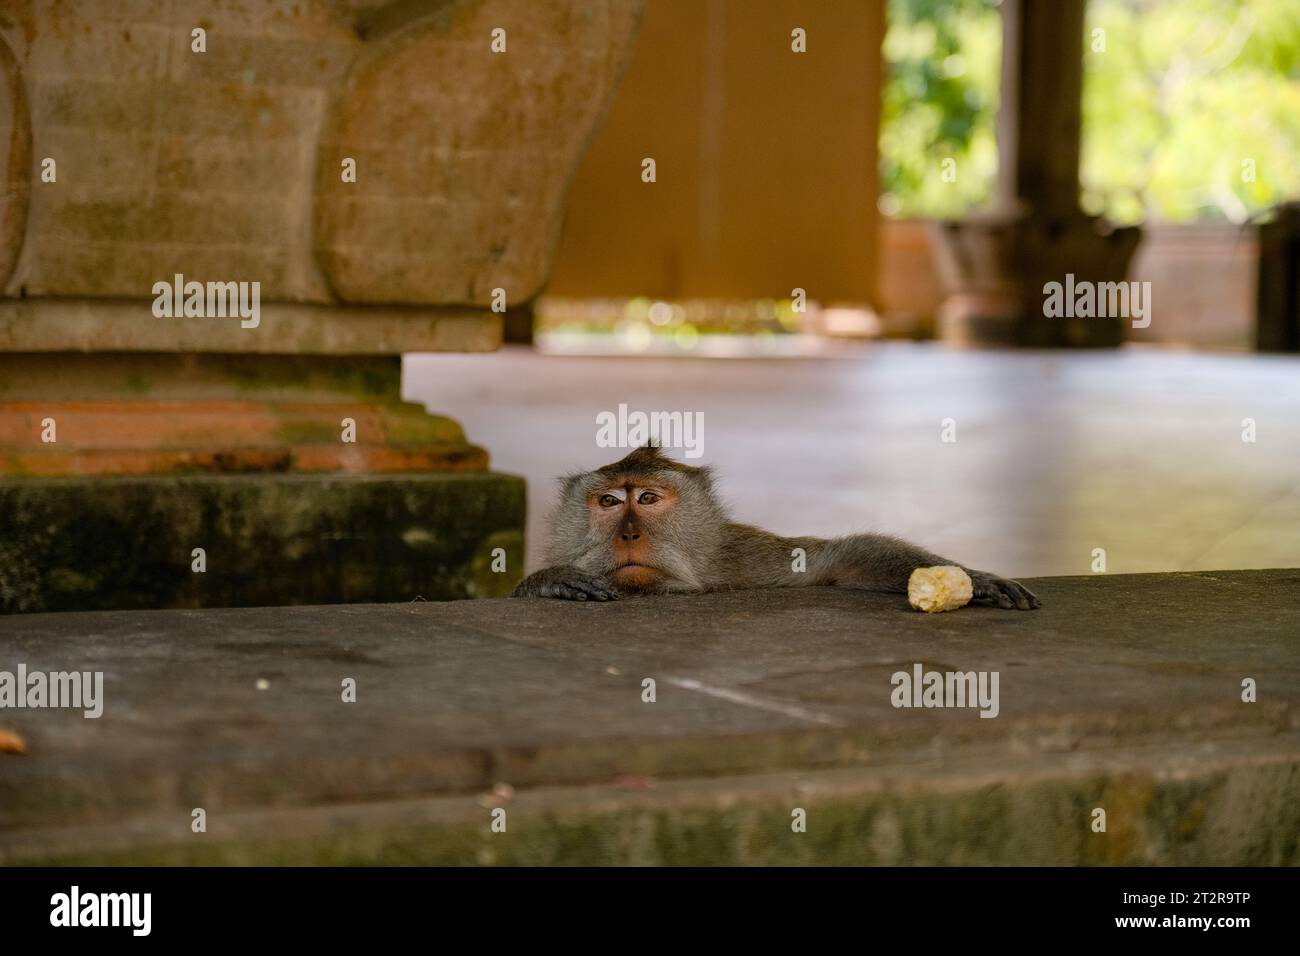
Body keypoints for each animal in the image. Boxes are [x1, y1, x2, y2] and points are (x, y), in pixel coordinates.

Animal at [512, 446, 1040, 610]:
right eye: (608, 501)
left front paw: (979, 581)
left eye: (646, 499)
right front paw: (551, 581)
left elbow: (842, 561)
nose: (628, 533)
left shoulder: (741, 555)